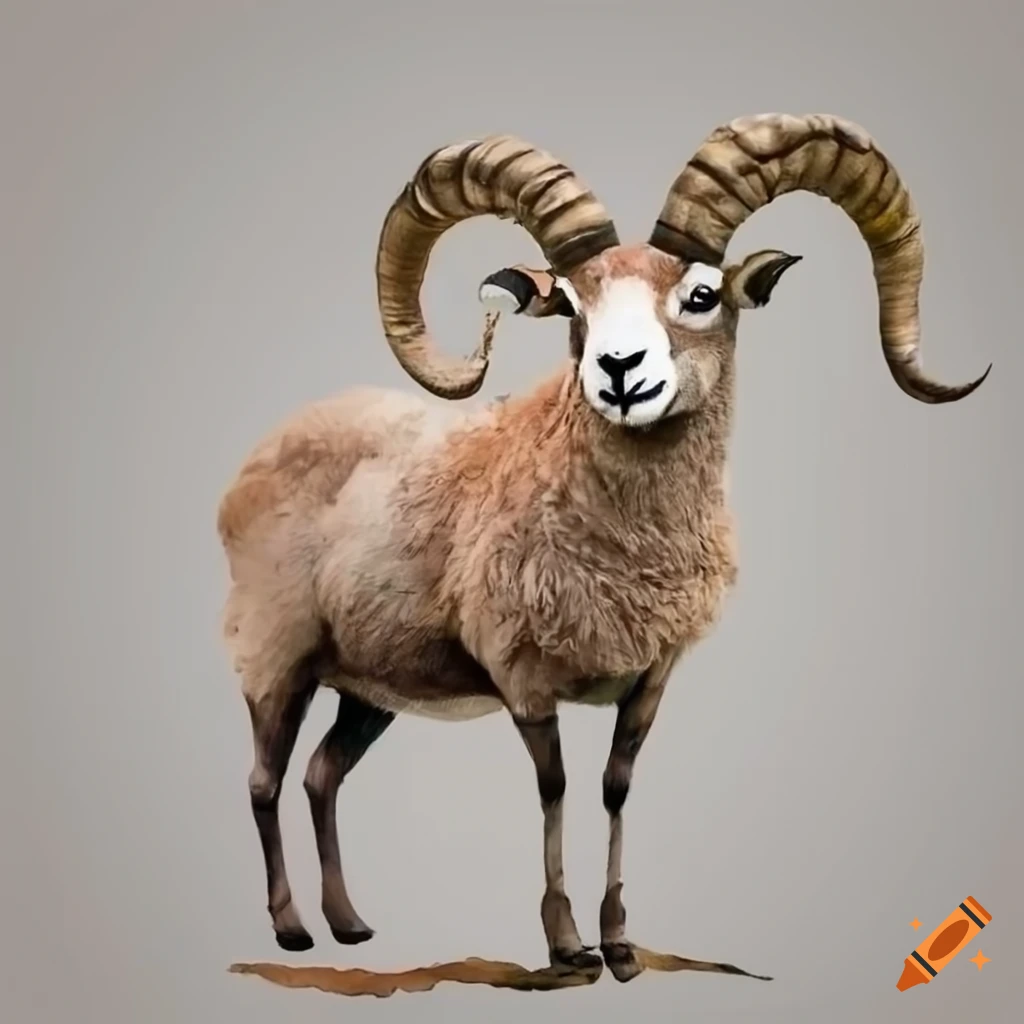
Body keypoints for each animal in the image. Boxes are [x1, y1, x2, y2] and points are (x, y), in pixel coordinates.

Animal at [217, 113, 988, 983]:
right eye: (570, 304)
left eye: (702, 294)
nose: (620, 371)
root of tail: (256, 462)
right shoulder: (524, 681)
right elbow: (554, 788)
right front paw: (564, 944)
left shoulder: (650, 681)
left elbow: (615, 788)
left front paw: (617, 942)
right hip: (276, 663)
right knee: (264, 782)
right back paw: (291, 931)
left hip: (368, 689)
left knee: (321, 777)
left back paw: (350, 926)